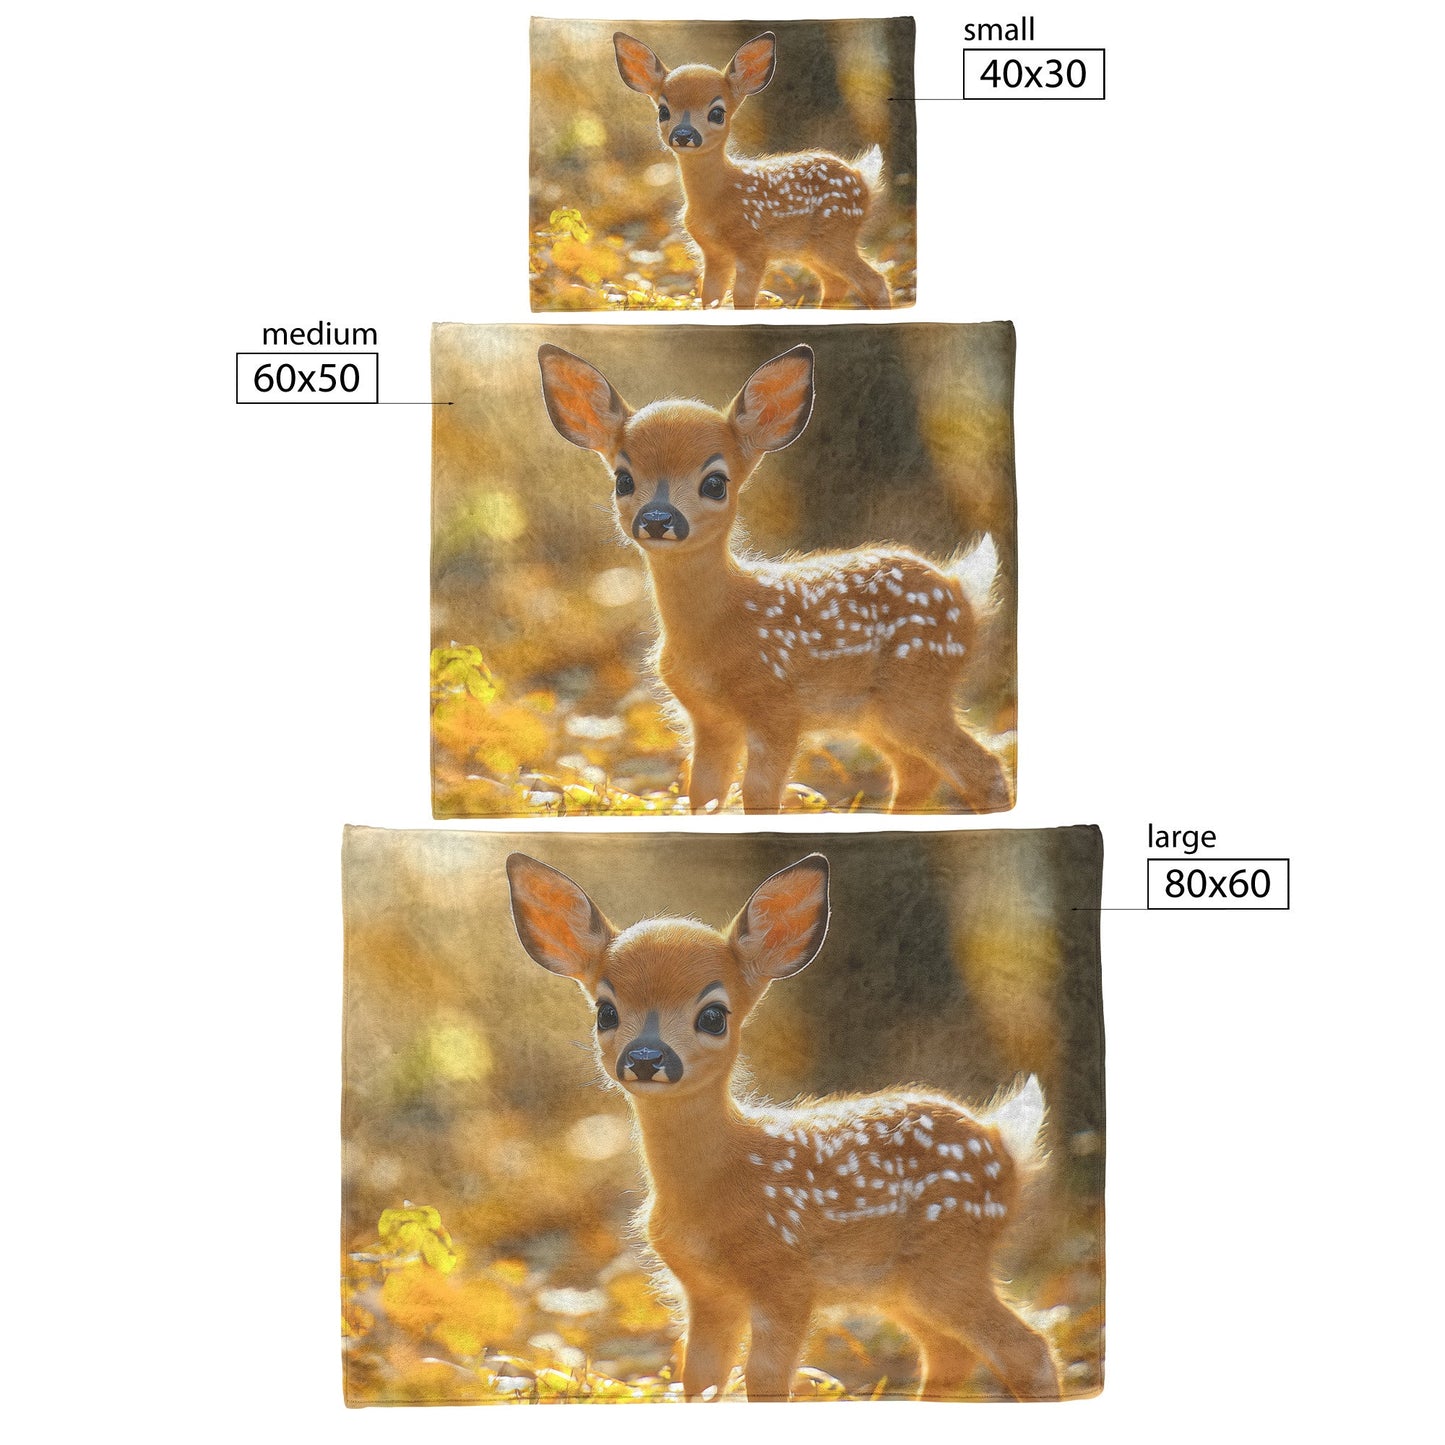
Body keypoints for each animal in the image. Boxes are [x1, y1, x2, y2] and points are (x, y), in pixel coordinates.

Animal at [505, 850, 1061, 1402]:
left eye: (713, 1016)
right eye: (606, 1011)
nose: (645, 1058)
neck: (719, 1179)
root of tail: (1001, 1140)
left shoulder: (786, 1274)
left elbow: (766, 1380)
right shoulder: (704, 1288)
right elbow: (699, 1379)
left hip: (949, 1256)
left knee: (1026, 1349)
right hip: (898, 1283)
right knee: (950, 1354)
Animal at [536, 341, 1012, 814]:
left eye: (715, 483)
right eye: (623, 479)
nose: (657, 519)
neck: (720, 623)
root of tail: (961, 589)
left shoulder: (777, 704)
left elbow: (760, 794)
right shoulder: (708, 717)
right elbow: (703, 793)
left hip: (915, 689)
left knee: (984, 767)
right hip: (872, 711)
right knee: (918, 772)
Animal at [613, 30, 892, 309]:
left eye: (717, 113)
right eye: (663, 111)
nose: (683, 135)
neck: (719, 196)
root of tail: (861, 176)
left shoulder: (753, 244)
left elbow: (743, 298)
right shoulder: (713, 252)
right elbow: (710, 297)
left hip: (835, 234)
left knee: (874, 281)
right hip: (811, 247)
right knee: (835, 283)